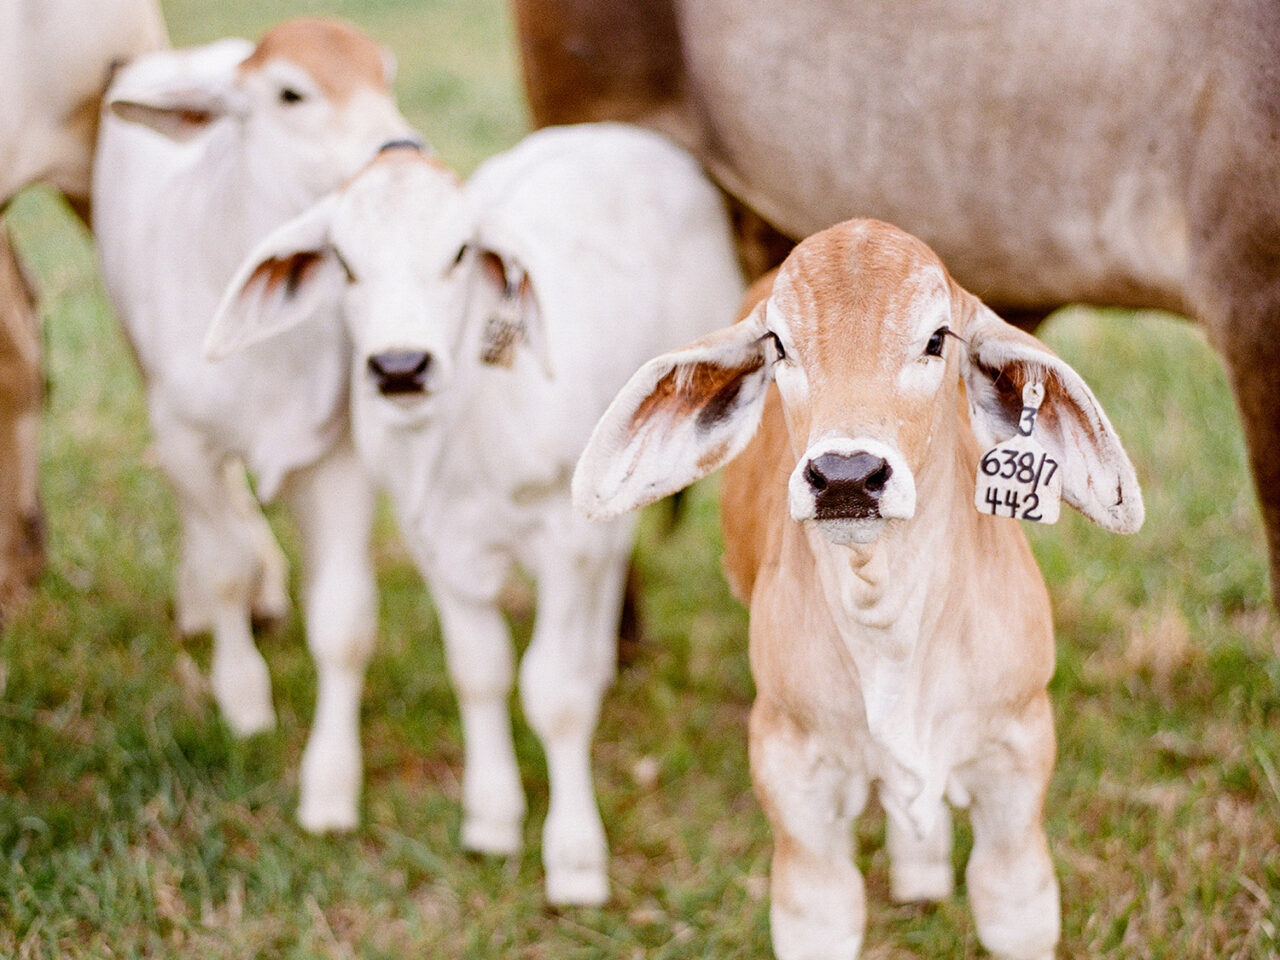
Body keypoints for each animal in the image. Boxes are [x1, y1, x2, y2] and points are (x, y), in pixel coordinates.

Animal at [91, 18, 413, 833]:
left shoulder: (341, 453)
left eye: (385, 75)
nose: (401, 149)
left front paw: (331, 788)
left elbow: (344, 620)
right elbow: (226, 568)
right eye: (291, 93)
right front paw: (243, 701)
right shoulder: (183, 439)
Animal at [203, 124, 745, 904]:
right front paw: (491, 817)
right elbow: (479, 670)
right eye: (343, 261)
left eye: (459, 253)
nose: (400, 367)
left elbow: (553, 693)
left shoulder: (565, 537)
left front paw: (575, 857)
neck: (467, 428)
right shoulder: (433, 542)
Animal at [573, 218, 1143, 958]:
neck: (889, 627)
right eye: (779, 344)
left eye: (937, 339)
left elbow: (1011, 901)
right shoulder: (794, 782)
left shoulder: (1017, 764)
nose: (846, 475)